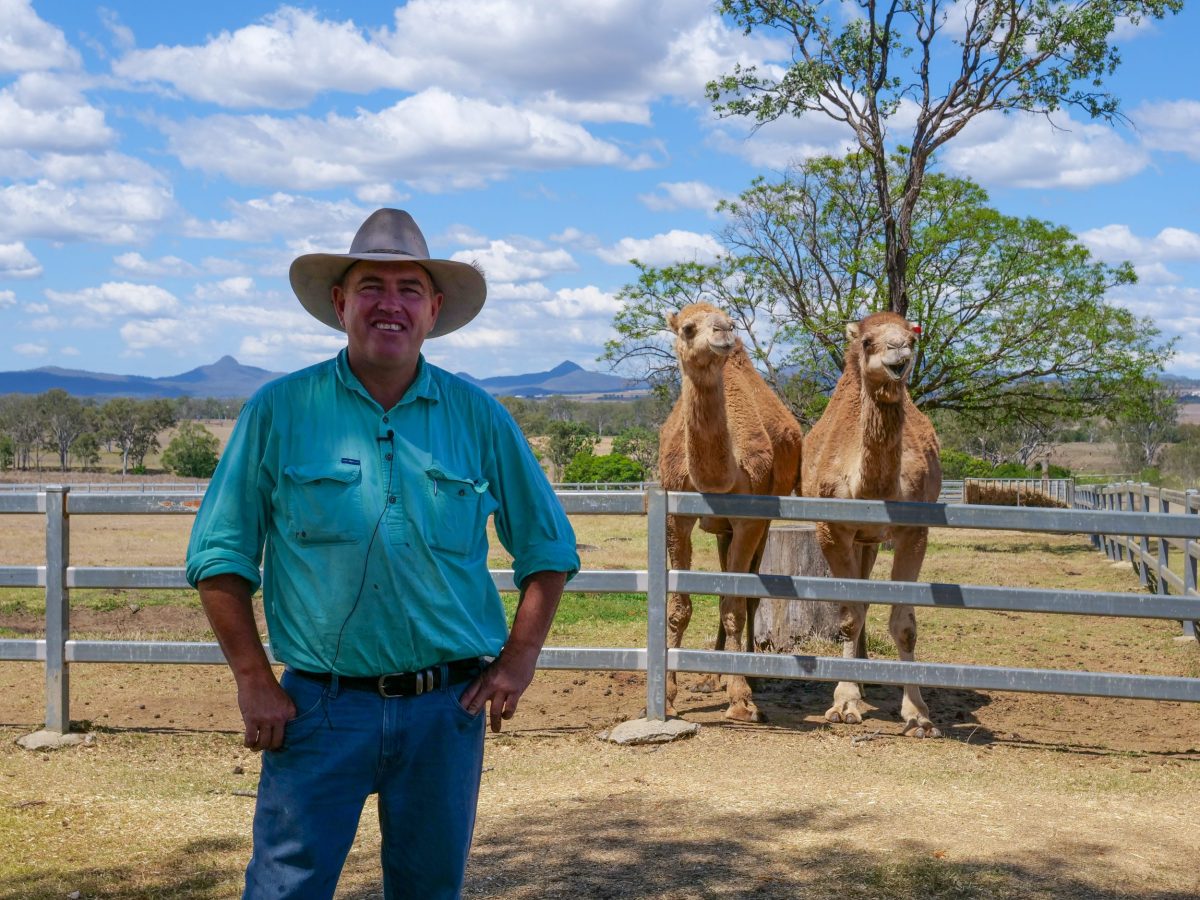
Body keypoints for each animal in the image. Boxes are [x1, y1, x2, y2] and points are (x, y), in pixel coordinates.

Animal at [658, 302, 803, 722]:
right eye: (688, 328)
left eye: (730, 321)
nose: (723, 333)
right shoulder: (676, 516)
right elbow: (678, 607)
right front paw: (668, 696)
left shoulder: (749, 518)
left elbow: (736, 604)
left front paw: (741, 699)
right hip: (722, 530)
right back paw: (714, 676)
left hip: (763, 523)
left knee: (748, 595)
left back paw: (746, 677)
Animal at [802, 311, 943, 738]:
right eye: (867, 341)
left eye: (912, 340)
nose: (897, 356)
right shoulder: (832, 530)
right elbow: (848, 618)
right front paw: (844, 703)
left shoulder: (914, 531)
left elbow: (905, 624)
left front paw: (918, 714)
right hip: (859, 539)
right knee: (859, 603)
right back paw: (858, 684)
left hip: (871, 540)